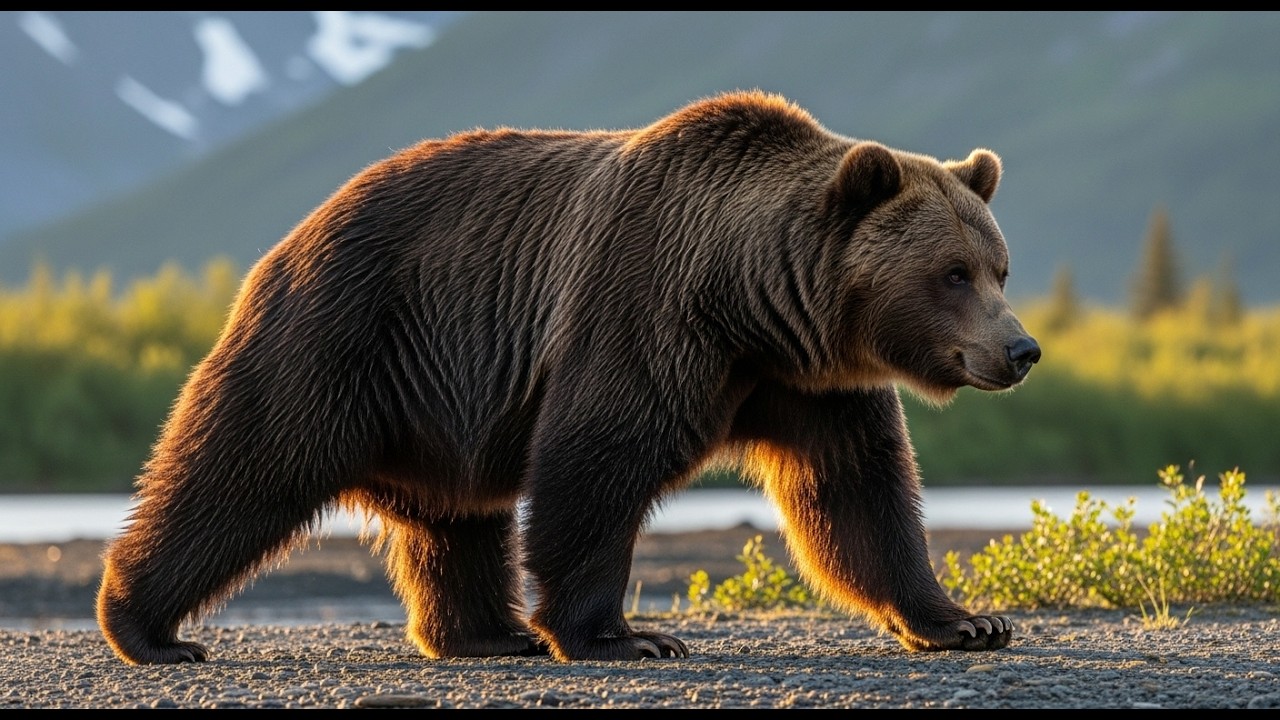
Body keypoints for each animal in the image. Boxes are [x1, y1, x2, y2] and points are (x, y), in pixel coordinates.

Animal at [96, 89, 1041, 665]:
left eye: (1000, 266)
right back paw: (148, 628)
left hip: (438, 403)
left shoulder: (814, 384)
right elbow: (596, 462)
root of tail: (294, 233)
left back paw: (486, 634)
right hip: (340, 334)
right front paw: (625, 635)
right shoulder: (646, 311)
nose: (1021, 349)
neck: (753, 304)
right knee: (240, 470)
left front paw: (966, 619)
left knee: (455, 517)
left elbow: (857, 495)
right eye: (952, 273)